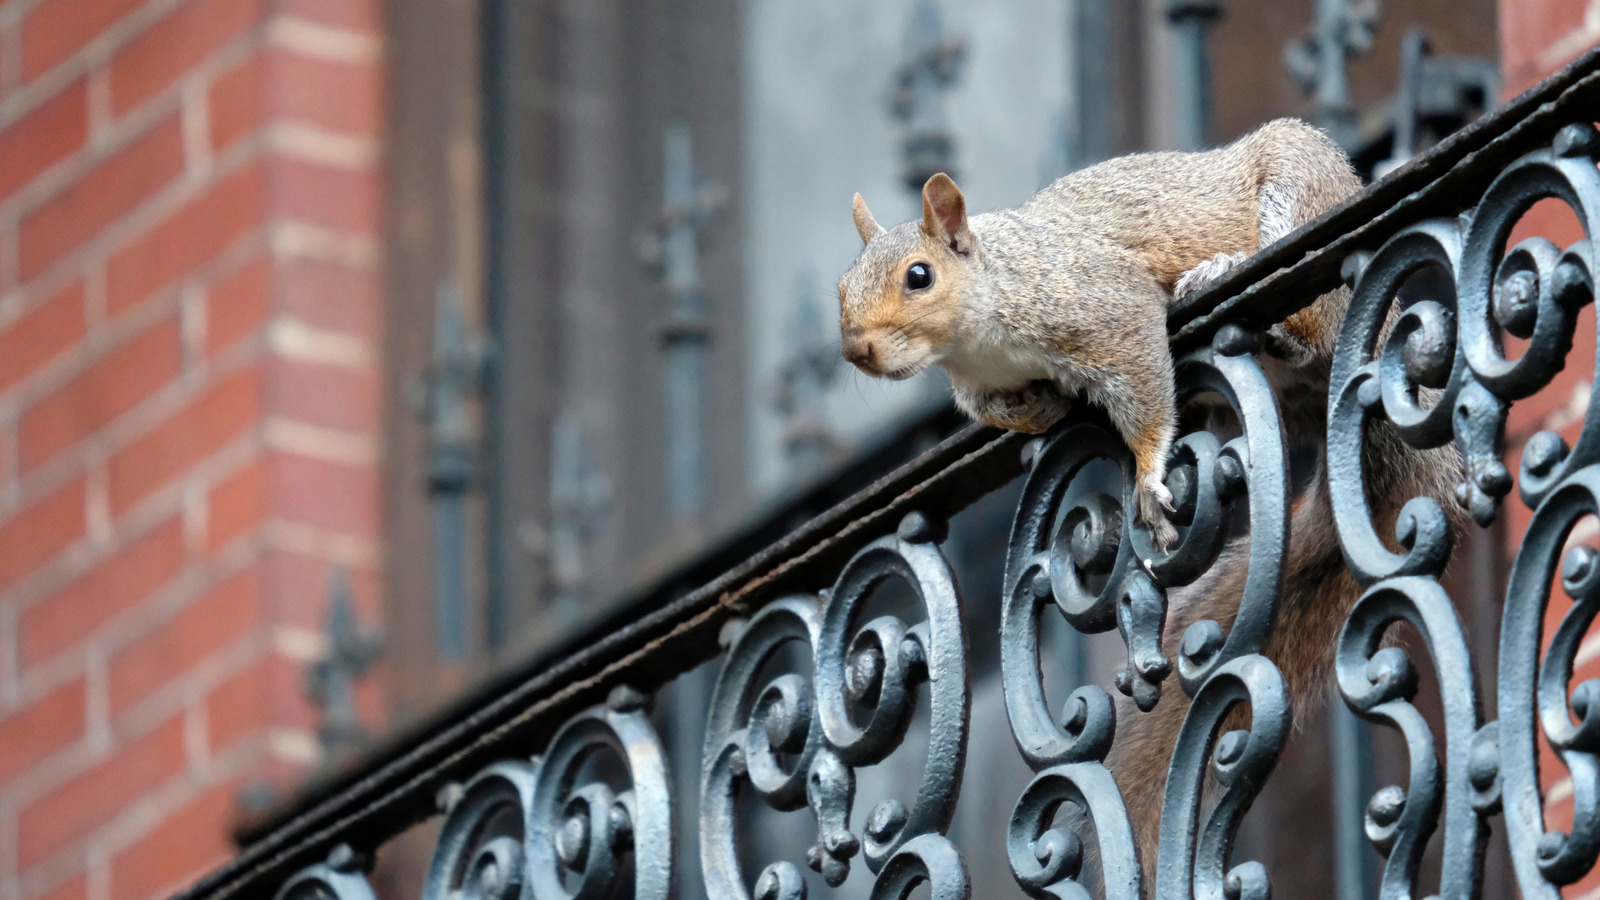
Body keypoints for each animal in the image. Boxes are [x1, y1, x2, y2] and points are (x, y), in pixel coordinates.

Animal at [837, 118, 1462, 882]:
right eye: (843, 285)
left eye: (919, 276)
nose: (857, 350)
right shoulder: (984, 388)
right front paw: (1042, 409)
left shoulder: (1100, 306)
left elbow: (1140, 372)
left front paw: (1146, 469)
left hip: (1298, 198)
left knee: (1312, 322)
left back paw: (1229, 280)